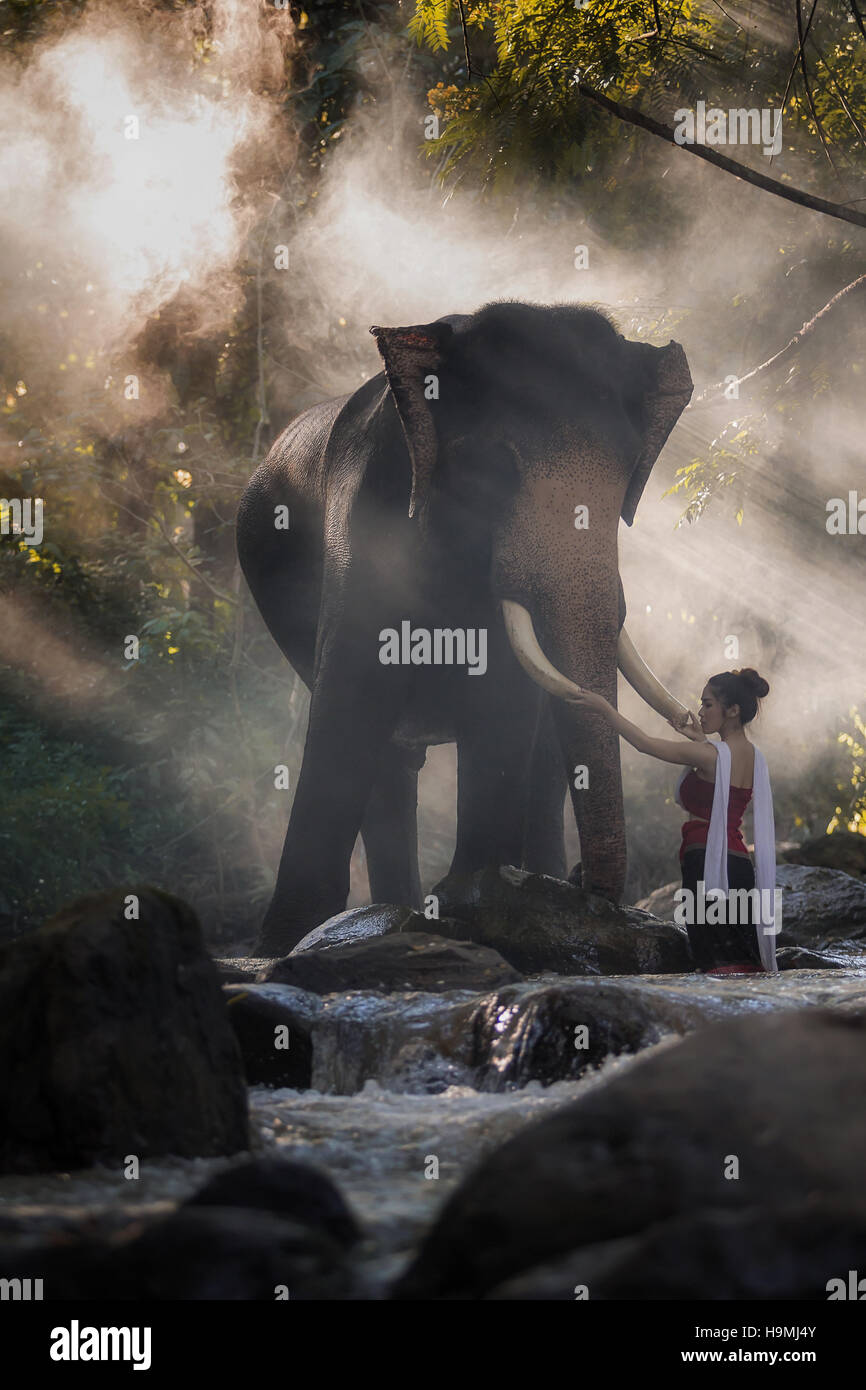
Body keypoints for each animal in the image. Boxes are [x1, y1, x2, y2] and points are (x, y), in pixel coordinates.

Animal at [236, 301, 694, 954]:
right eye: (491, 468)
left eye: (631, 473)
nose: (587, 879)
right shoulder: (364, 515)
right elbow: (352, 691)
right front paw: (282, 946)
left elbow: (506, 698)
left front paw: (478, 901)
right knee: (390, 757)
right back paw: (389, 914)